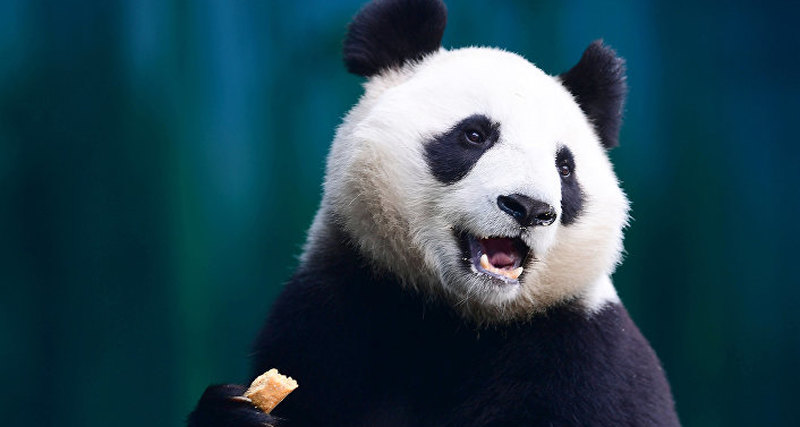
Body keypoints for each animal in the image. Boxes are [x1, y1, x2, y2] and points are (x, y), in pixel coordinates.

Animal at [189, 0, 679, 425]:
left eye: (564, 167)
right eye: (475, 135)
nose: (530, 207)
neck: (461, 318)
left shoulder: (584, 355)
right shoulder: (334, 312)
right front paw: (234, 412)